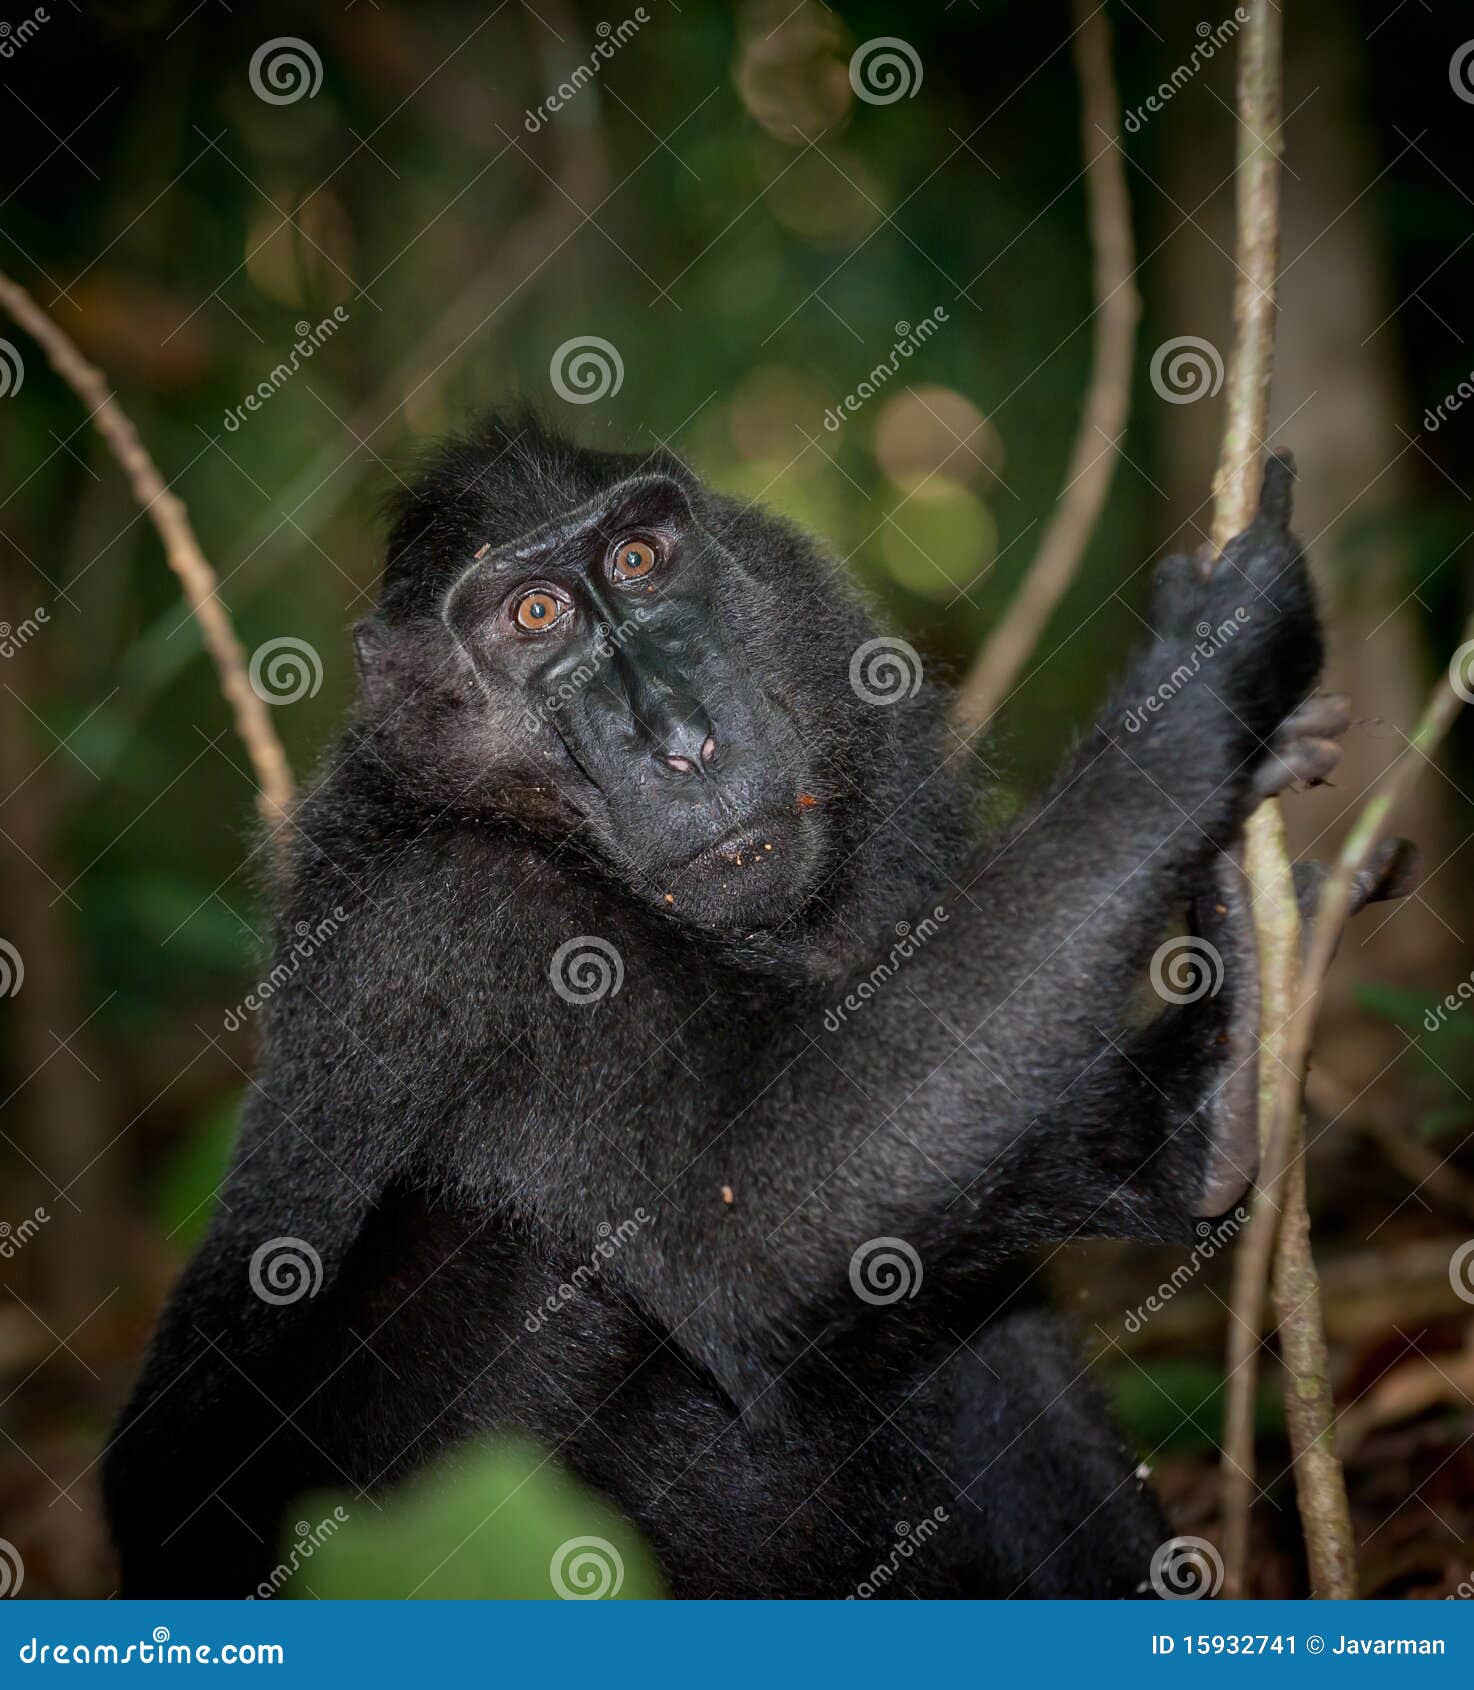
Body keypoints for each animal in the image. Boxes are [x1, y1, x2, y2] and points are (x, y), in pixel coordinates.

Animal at [102, 415, 1411, 1598]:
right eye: (534, 617)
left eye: (640, 558)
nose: (684, 737)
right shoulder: (476, 927)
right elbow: (748, 1215)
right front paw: (1207, 688)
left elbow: (967, 1307)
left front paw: (1195, 1106)